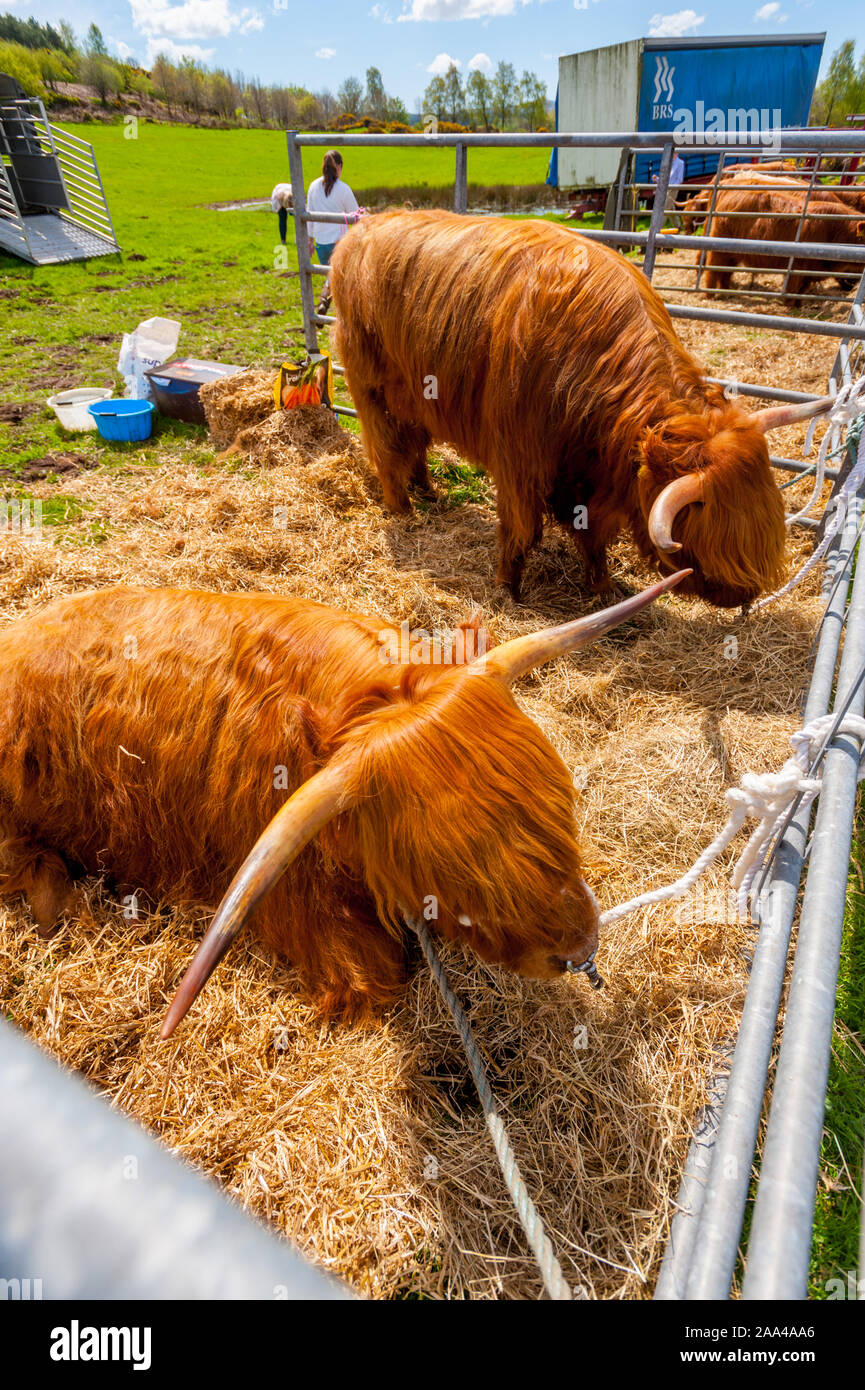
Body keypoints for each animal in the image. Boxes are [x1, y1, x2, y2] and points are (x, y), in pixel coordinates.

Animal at [330, 211, 834, 608]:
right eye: (707, 539)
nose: (743, 596)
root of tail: (364, 226)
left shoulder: (599, 477)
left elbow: (595, 535)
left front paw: (603, 586)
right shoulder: (520, 460)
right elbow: (521, 529)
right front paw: (507, 588)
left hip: (417, 396)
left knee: (414, 442)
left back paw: (429, 492)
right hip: (370, 387)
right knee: (385, 449)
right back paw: (403, 510)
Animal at [702, 187, 865, 297]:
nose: (852, 286)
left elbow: (801, 289)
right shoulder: (798, 266)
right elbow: (793, 289)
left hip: (732, 254)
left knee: (725, 272)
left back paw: (725, 290)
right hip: (719, 249)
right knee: (712, 269)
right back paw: (709, 294)